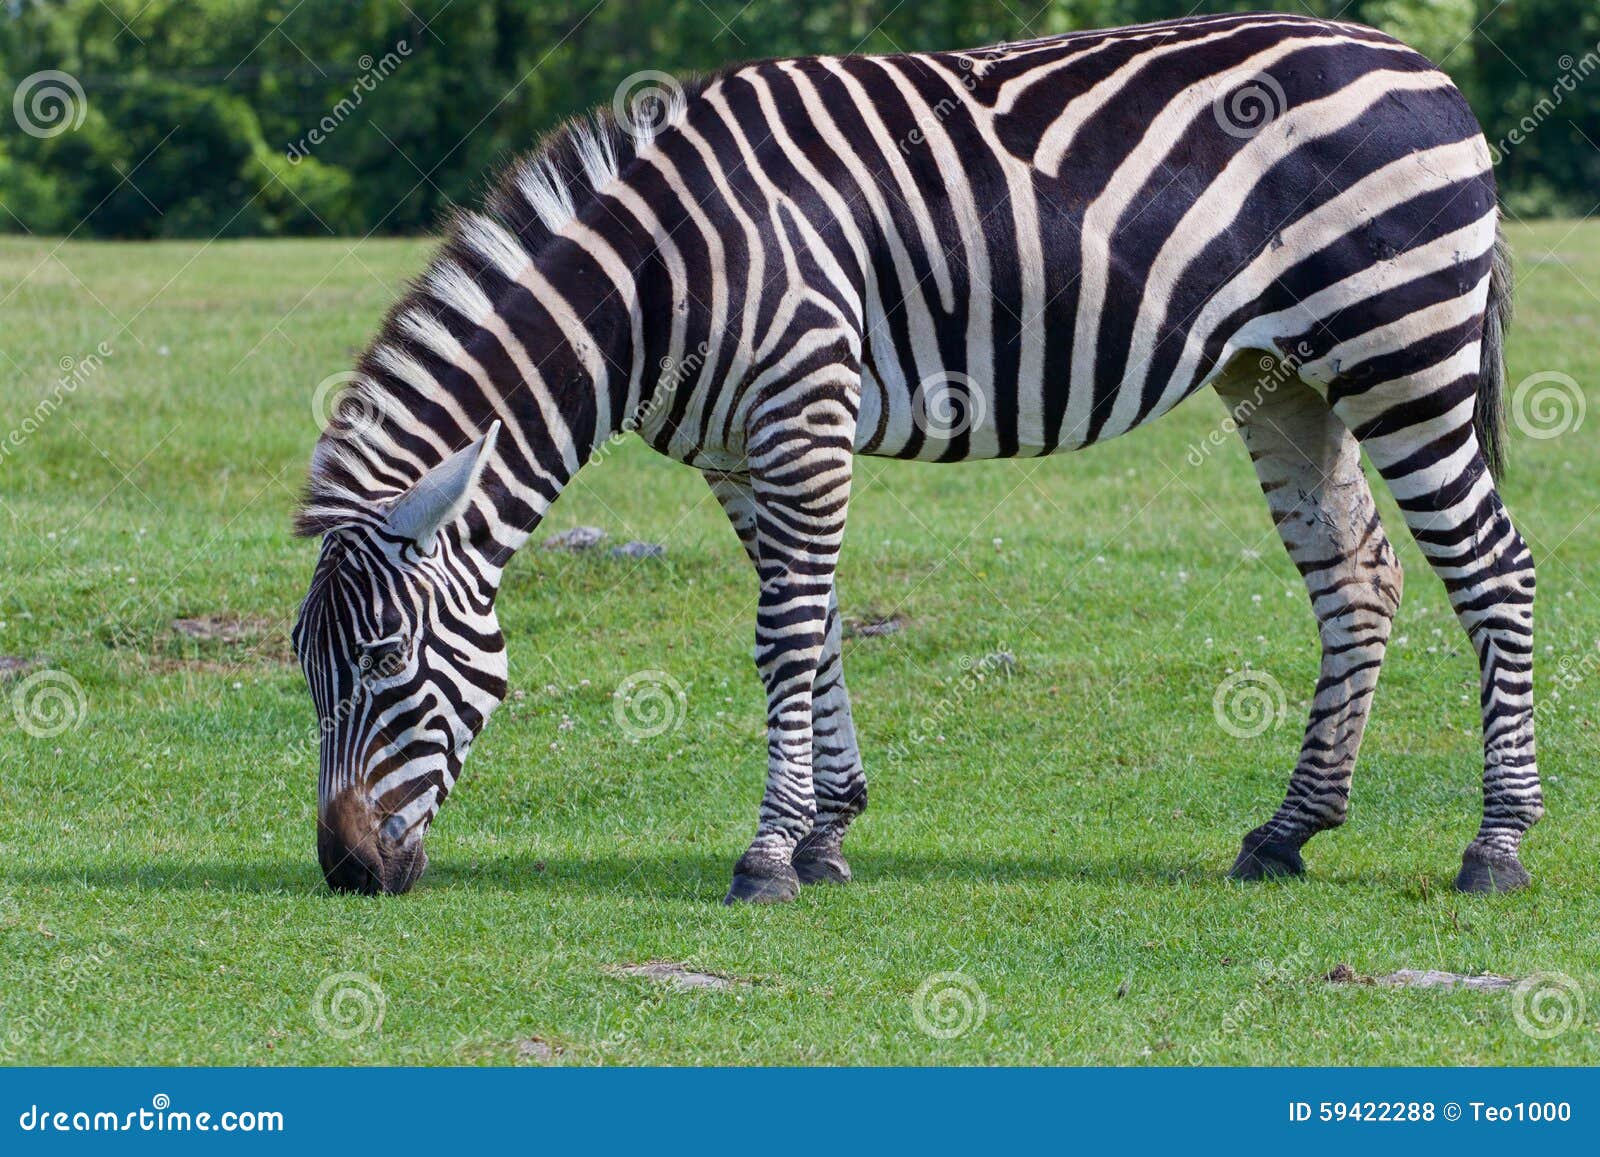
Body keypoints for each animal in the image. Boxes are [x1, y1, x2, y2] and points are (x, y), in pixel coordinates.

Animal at [292, 12, 1543, 901]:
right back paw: (1286, 832)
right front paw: (826, 832)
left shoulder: (801, 407)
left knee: (1494, 569)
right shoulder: (740, 454)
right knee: (1357, 574)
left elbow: (783, 632)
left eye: (389, 662)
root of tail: (1424, 66)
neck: (661, 278)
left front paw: (767, 856)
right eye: (306, 672)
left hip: (1400, 347)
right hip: (1279, 374)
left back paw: (1495, 844)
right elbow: (817, 622)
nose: (347, 870)